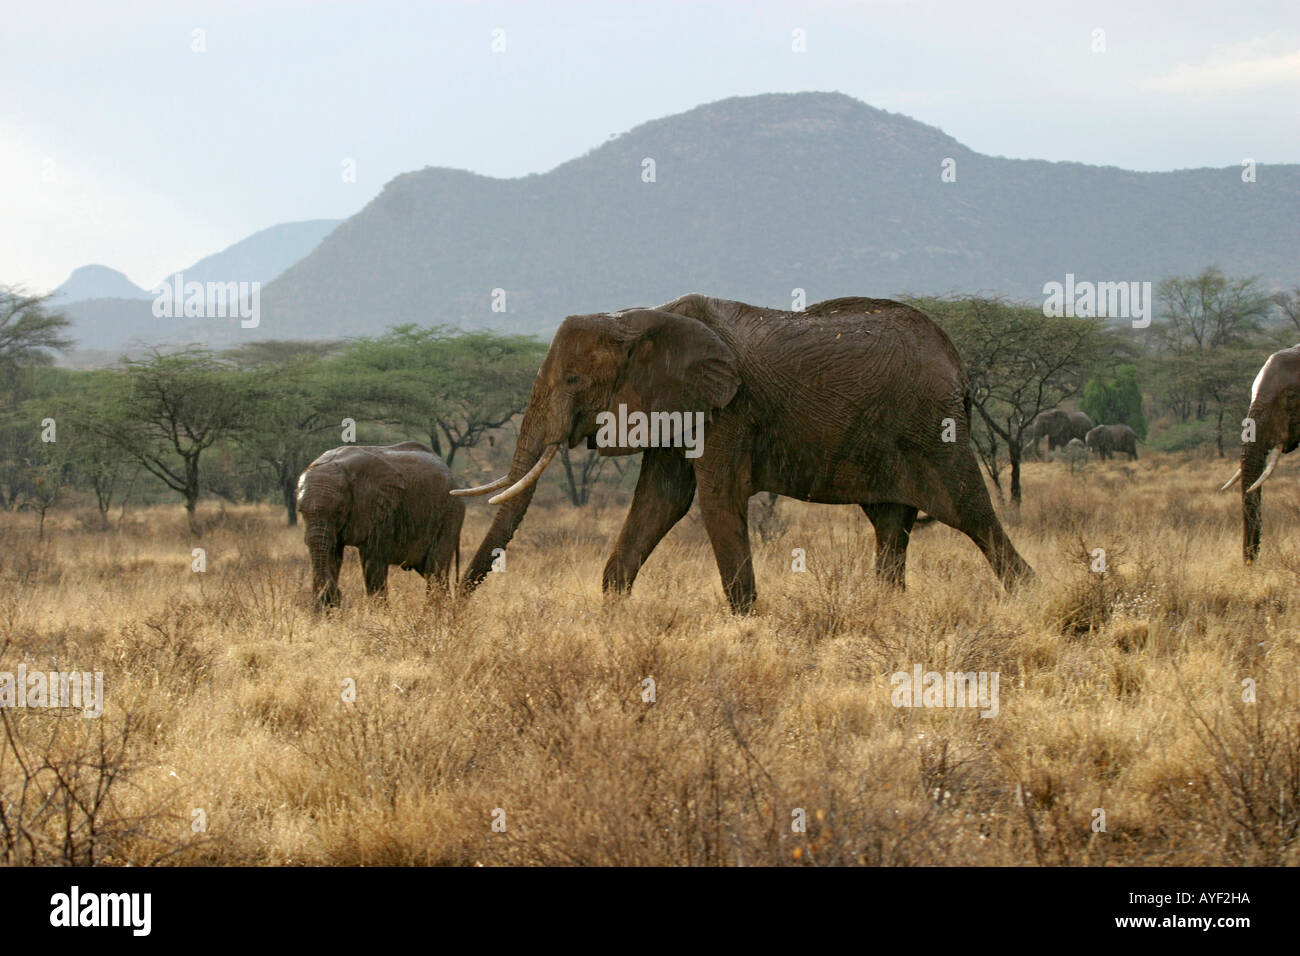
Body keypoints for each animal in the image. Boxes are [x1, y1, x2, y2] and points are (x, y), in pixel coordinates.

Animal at [296, 442, 464, 608]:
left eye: (339, 510)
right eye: (301, 512)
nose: (336, 594)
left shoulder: (381, 512)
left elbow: (372, 561)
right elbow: (332, 553)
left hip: (450, 515)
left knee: (434, 570)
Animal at [452, 293, 1034, 613]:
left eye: (574, 380)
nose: (451, 607)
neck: (641, 316)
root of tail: (959, 368)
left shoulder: (728, 409)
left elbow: (715, 500)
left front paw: (748, 621)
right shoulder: (679, 406)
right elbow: (660, 502)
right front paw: (613, 606)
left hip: (934, 428)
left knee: (971, 513)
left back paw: (1030, 595)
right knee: (892, 524)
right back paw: (888, 606)